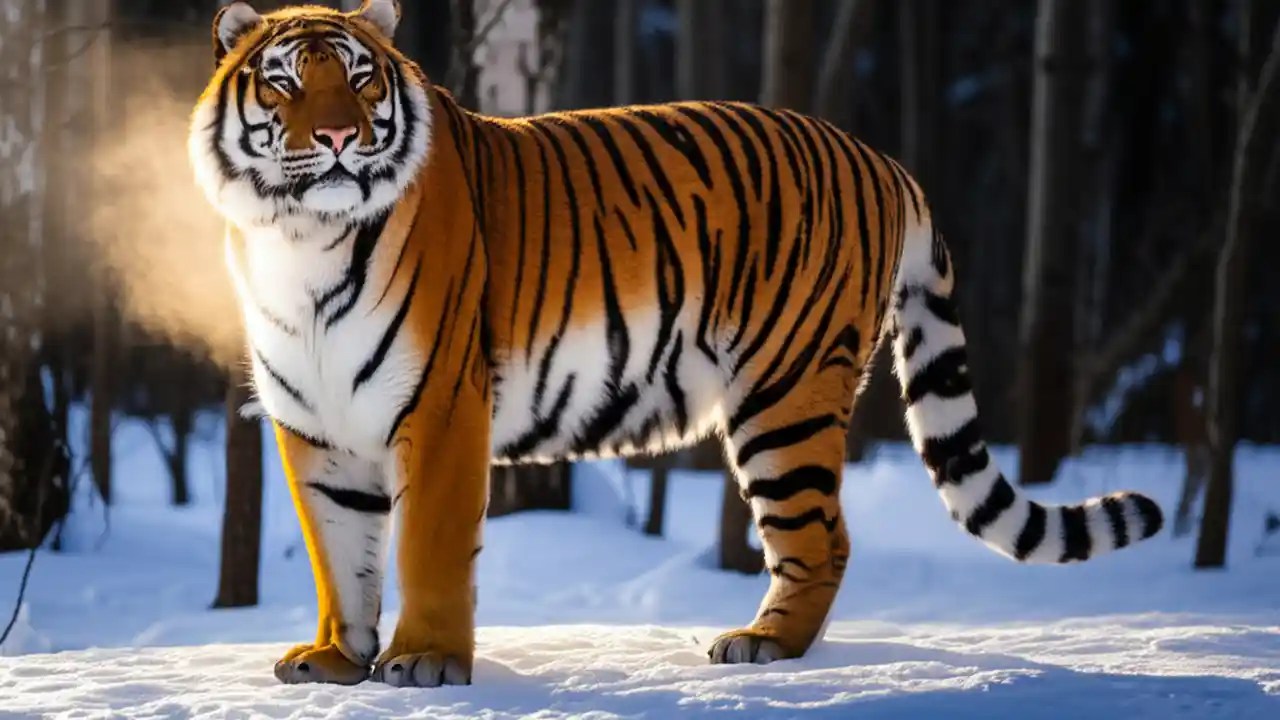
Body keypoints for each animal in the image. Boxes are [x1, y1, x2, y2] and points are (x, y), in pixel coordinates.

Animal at [189, 0, 1164, 688]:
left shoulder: (439, 405)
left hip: (784, 394)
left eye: (360, 81)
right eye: (282, 84)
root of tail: (880, 158)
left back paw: (764, 645)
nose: (340, 137)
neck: (299, 243)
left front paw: (425, 661)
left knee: (823, 537)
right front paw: (336, 659)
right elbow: (339, 552)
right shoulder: (316, 424)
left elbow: (425, 545)